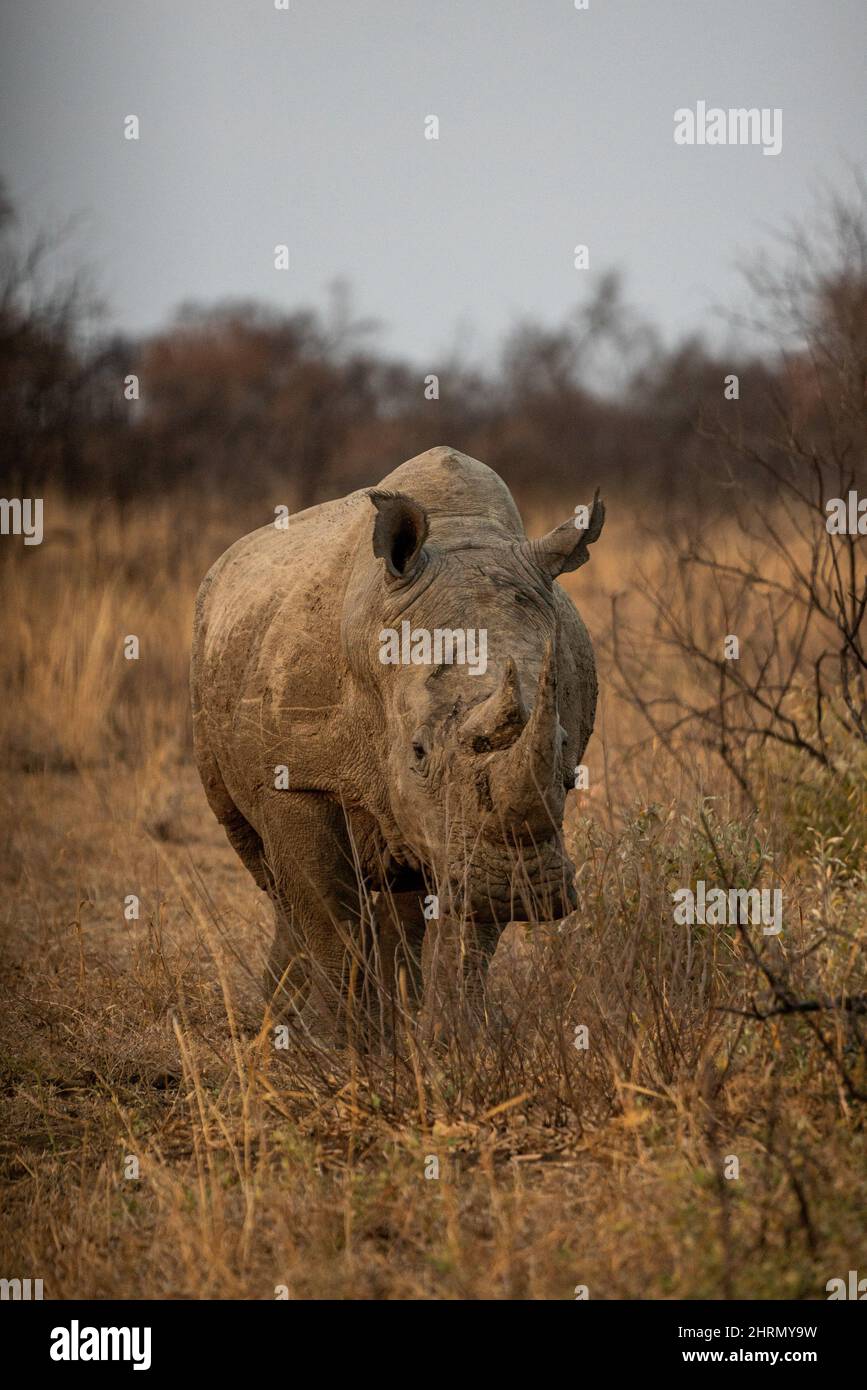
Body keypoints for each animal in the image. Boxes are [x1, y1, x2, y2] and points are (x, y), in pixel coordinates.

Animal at [190, 446, 604, 1036]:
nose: (521, 888)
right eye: (418, 751)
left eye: (569, 768)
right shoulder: (296, 780)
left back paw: (384, 1024)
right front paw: (338, 1045)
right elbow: (328, 910)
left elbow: (472, 931)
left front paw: (459, 1039)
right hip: (211, 641)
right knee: (268, 871)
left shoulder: (474, 833)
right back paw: (281, 1020)